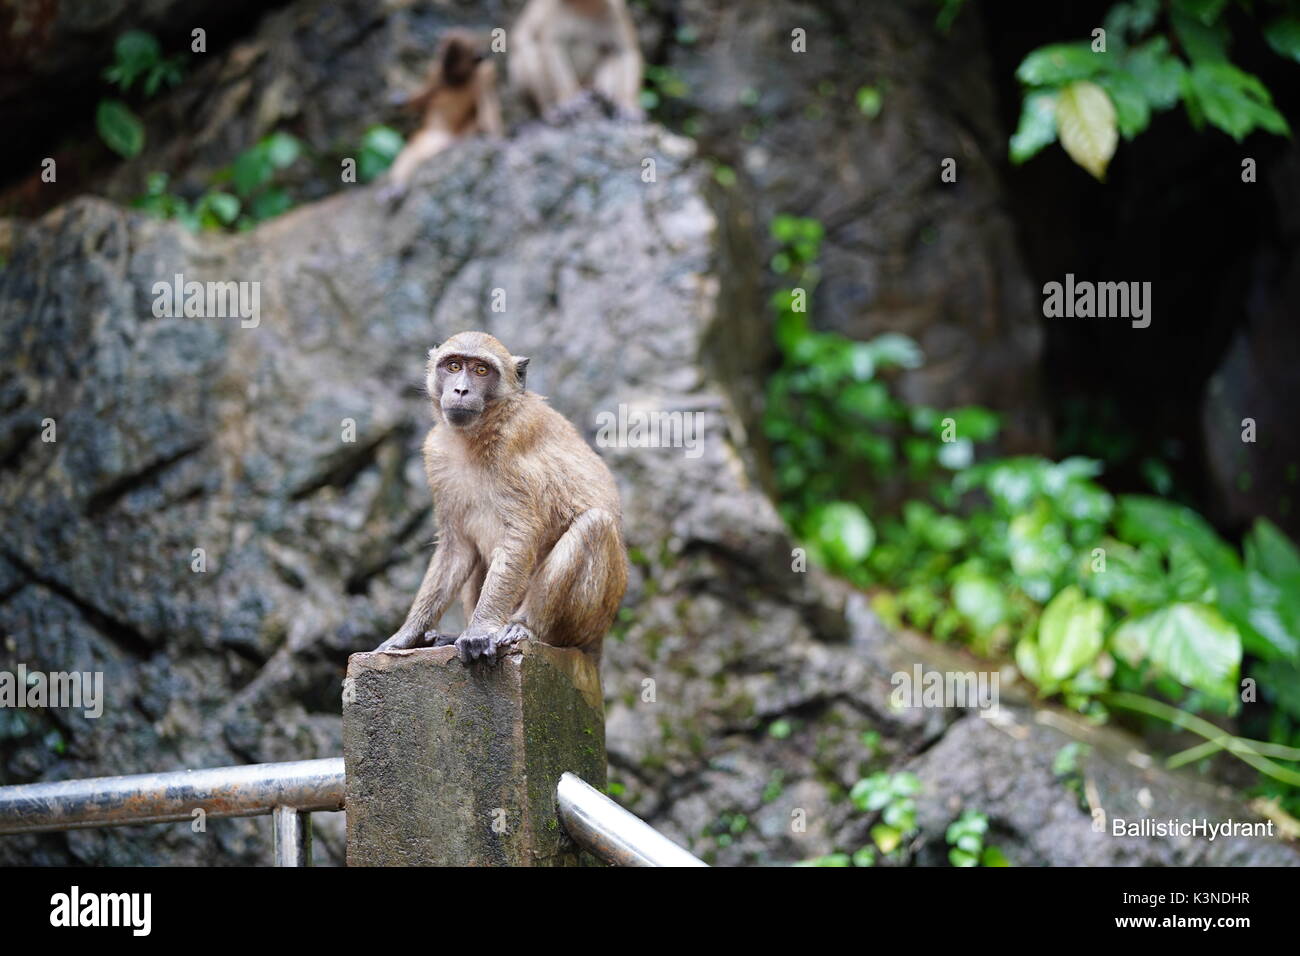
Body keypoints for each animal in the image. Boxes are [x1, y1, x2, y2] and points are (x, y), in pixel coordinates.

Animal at [376, 331, 629, 664]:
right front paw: (406, 634)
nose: (460, 389)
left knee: (595, 525)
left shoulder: (513, 447)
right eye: (454, 366)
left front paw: (480, 629)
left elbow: (520, 535)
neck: (474, 436)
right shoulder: (436, 455)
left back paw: (524, 627)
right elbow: (456, 547)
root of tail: (597, 642)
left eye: (481, 370)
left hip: (587, 621)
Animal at [383, 30, 503, 195]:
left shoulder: (485, 75)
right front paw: (400, 102)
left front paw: (496, 139)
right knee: (412, 150)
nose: (446, 69)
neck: (459, 80)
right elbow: (425, 95)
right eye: (445, 60)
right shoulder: (434, 70)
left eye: (454, 61)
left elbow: (488, 107)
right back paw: (396, 187)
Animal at [508, 0, 644, 119]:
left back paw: (600, 94)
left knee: (611, 54)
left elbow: (627, 51)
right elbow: (552, 45)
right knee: (528, 52)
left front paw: (627, 104)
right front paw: (569, 98)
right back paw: (548, 107)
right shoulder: (555, 9)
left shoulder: (615, 12)